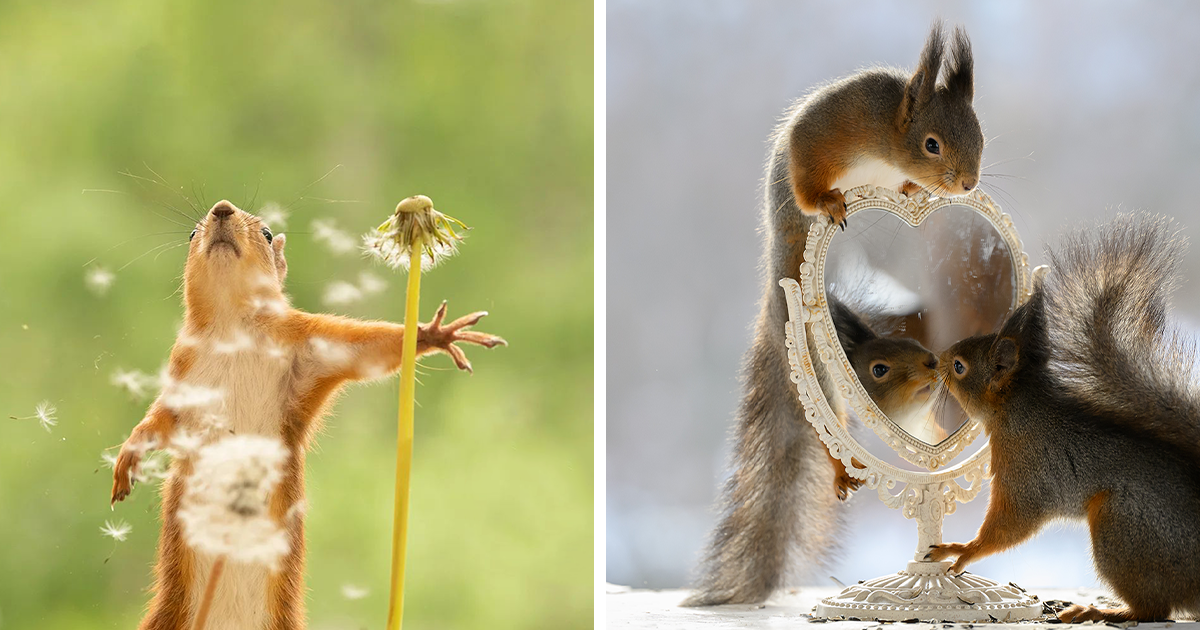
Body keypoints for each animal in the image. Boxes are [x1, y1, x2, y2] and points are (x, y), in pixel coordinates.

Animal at [109, 200, 505, 630]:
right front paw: (128, 457)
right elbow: (160, 420)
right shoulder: (182, 375)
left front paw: (437, 334)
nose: (222, 208)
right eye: (192, 234)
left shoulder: (310, 344)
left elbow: (369, 349)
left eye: (267, 233)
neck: (233, 328)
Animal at [684, 21, 983, 606]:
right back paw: (839, 472)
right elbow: (805, 176)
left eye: (980, 136)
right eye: (931, 144)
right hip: (818, 364)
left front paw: (911, 189)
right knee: (822, 426)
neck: (887, 137)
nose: (967, 185)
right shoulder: (826, 132)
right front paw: (827, 203)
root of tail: (774, 302)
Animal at [928, 214, 1200, 623]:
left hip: (1122, 526)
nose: (939, 359)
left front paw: (963, 551)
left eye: (959, 367)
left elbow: (1011, 524)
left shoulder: (1026, 471)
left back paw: (1100, 610)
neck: (1016, 411)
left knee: (1154, 609)